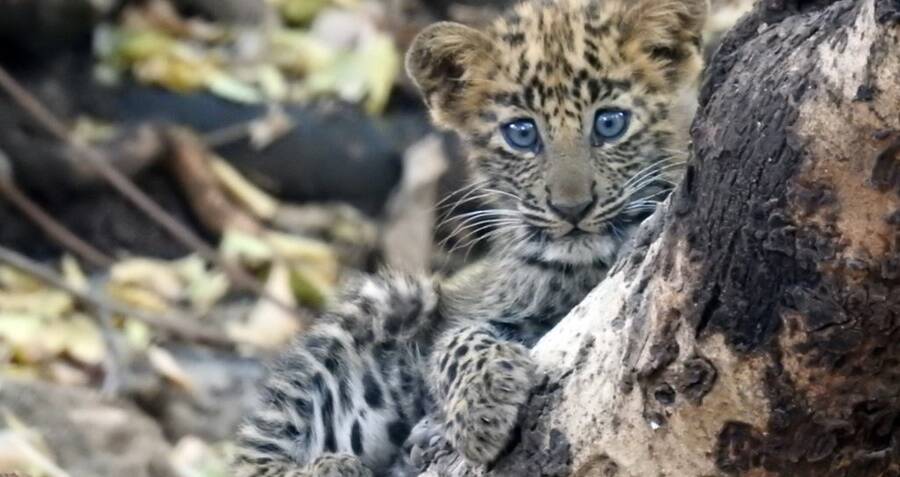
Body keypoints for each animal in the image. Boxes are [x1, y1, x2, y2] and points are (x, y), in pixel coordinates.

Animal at [231, 0, 707, 475]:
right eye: (522, 133)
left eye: (610, 124)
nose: (571, 209)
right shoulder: (479, 305)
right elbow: (454, 340)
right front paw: (483, 403)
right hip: (390, 300)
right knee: (257, 449)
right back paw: (331, 464)